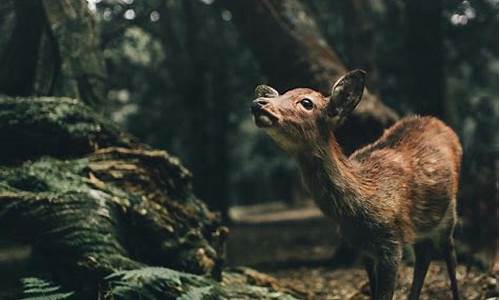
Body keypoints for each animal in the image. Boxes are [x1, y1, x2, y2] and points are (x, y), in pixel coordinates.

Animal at [252, 69, 462, 298]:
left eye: (307, 102)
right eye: (280, 94)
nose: (258, 103)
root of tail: (444, 126)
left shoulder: (391, 243)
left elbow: (385, 294)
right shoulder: (363, 248)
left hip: (449, 212)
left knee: (449, 253)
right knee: (424, 255)